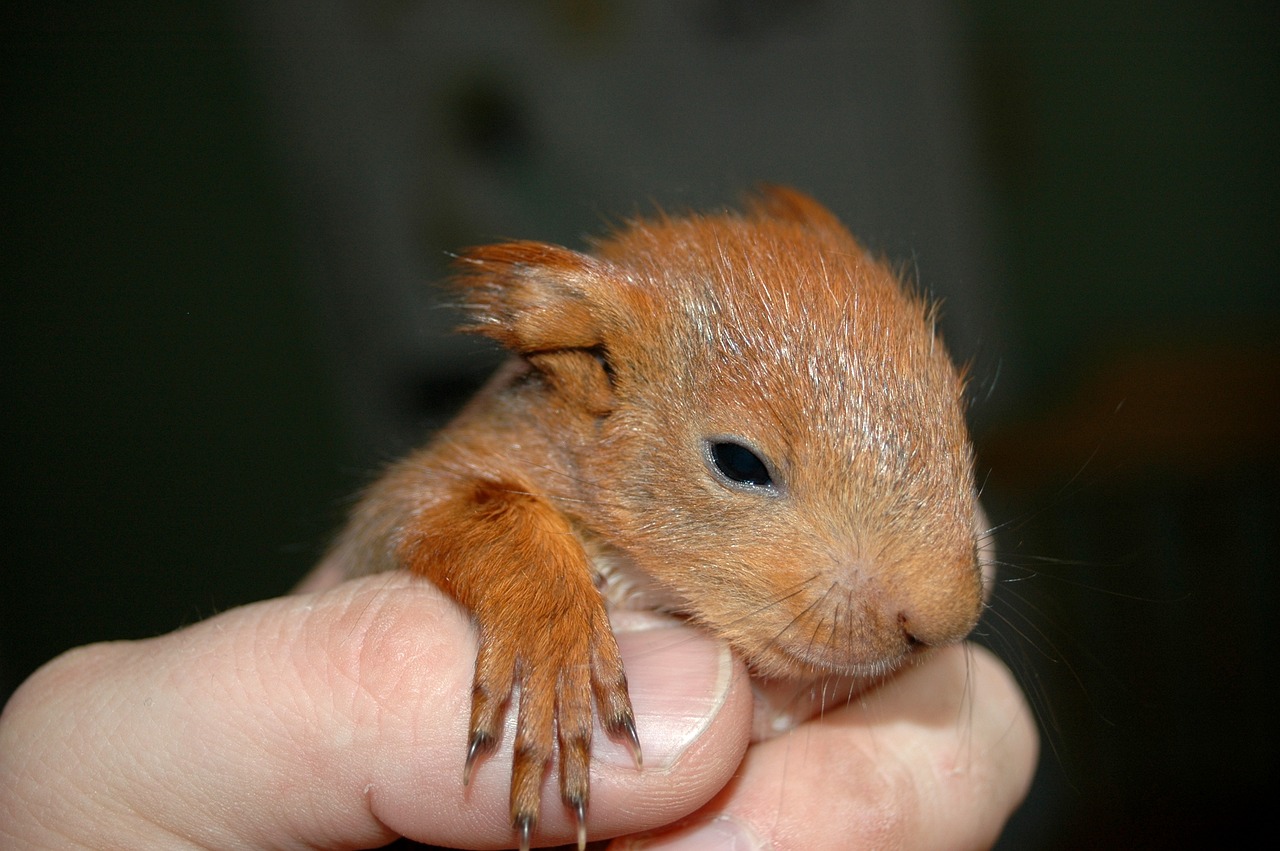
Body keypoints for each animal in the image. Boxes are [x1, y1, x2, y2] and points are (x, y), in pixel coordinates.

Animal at [324, 186, 987, 850]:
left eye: (955, 408)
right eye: (739, 460)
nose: (946, 620)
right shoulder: (414, 500)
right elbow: (450, 508)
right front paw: (552, 643)